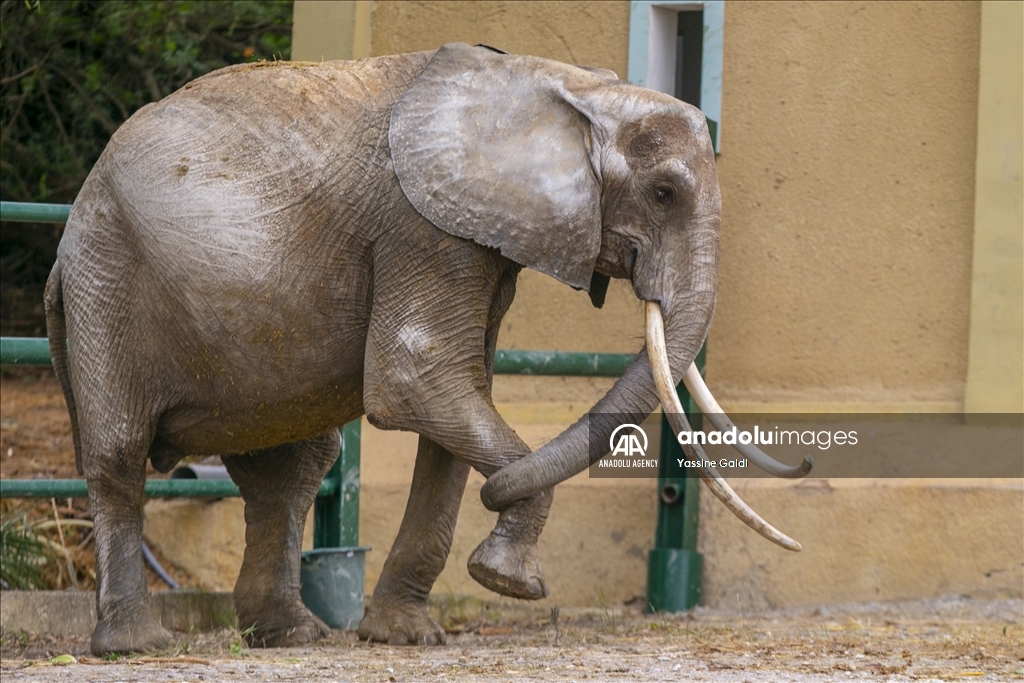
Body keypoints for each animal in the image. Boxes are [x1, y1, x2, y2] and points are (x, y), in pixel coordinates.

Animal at [44, 43, 802, 656]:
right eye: (665, 191)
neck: (561, 82)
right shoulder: (424, 228)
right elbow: (418, 380)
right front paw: (507, 579)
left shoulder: (477, 241)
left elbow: (459, 395)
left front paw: (406, 636)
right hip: (106, 278)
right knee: (120, 454)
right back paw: (138, 646)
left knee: (289, 470)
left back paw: (291, 636)